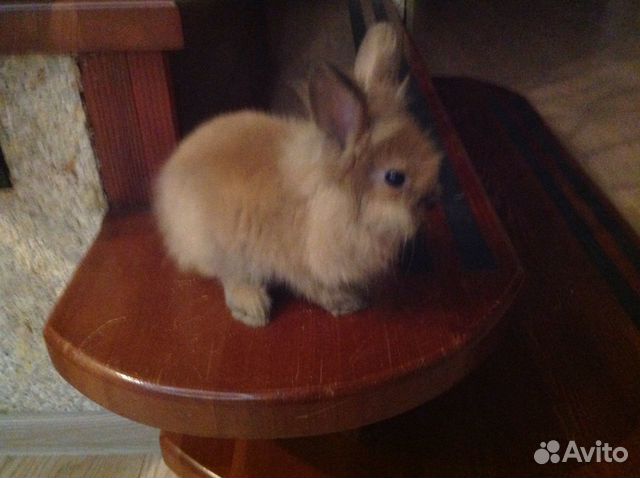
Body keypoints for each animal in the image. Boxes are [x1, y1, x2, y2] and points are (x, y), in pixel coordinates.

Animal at [154, 23, 442, 327]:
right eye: (395, 178)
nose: (433, 199)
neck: (331, 200)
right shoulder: (301, 266)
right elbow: (314, 287)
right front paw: (348, 302)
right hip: (224, 246)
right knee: (232, 276)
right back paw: (252, 309)